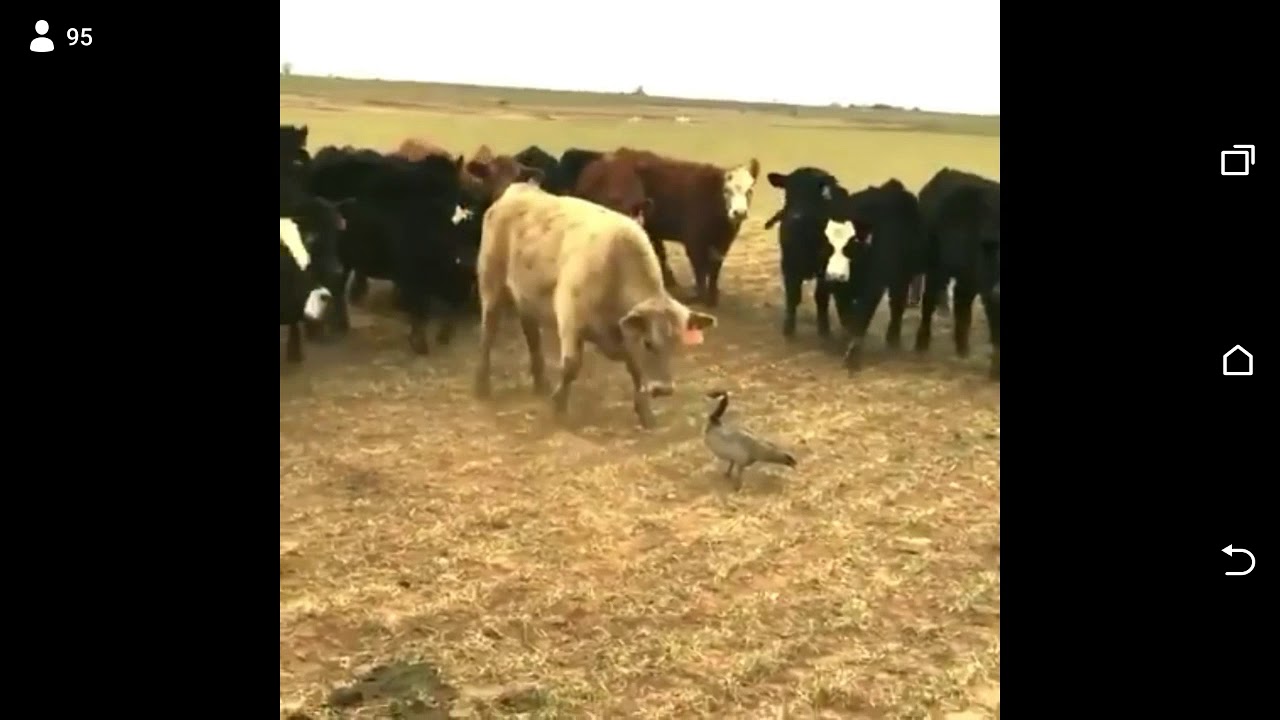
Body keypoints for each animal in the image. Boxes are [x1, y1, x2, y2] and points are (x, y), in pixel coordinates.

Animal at [473, 183, 717, 428]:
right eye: (648, 342)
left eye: (676, 343)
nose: (664, 389)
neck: (616, 269)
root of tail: (519, 189)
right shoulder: (570, 323)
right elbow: (571, 367)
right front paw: (558, 408)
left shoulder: (626, 338)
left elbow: (637, 372)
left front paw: (646, 414)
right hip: (492, 288)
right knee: (488, 333)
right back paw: (482, 386)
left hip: (527, 300)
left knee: (532, 336)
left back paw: (540, 383)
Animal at [600, 148, 761, 306]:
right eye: (726, 190)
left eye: (750, 190)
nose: (739, 212)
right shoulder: (694, 242)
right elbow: (700, 269)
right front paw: (701, 297)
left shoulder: (723, 243)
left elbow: (715, 268)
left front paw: (712, 297)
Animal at [765, 167, 849, 339]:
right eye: (788, 192)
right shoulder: (788, 265)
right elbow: (793, 296)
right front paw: (788, 329)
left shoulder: (823, 269)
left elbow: (820, 297)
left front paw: (824, 330)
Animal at [823, 179, 926, 371]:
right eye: (827, 244)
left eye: (852, 244)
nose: (835, 275)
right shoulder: (840, 290)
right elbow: (847, 317)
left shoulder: (873, 287)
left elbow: (862, 317)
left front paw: (853, 358)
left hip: (903, 276)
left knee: (897, 304)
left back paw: (893, 338)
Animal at [915, 168, 1000, 379]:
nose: (998, 291)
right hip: (935, 266)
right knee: (929, 302)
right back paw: (922, 344)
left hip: (966, 276)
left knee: (962, 304)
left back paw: (962, 349)